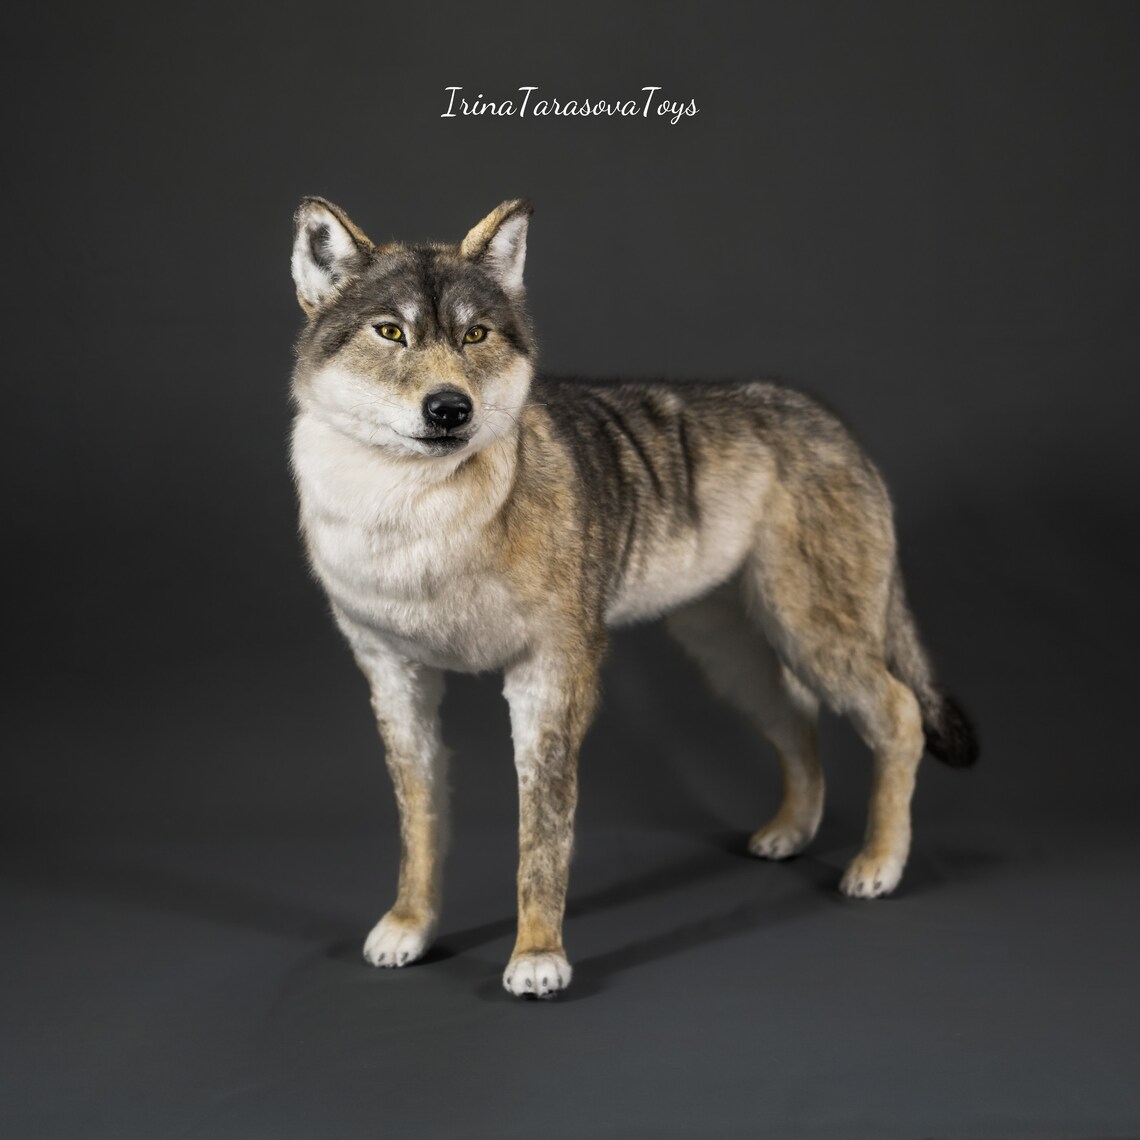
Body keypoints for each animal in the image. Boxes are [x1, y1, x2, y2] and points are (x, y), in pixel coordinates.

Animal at [288, 198, 978, 998]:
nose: (450, 409)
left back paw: (878, 866)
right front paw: (409, 927)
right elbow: (421, 824)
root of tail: (834, 423)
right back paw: (790, 834)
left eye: (474, 335)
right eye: (391, 332)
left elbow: (543, 837)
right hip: (732, 656)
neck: (417, 523)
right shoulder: (396, 679)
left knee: (898, 715)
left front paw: (537, 956)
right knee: (800, 718)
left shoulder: (551, 676)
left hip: (813, 636)